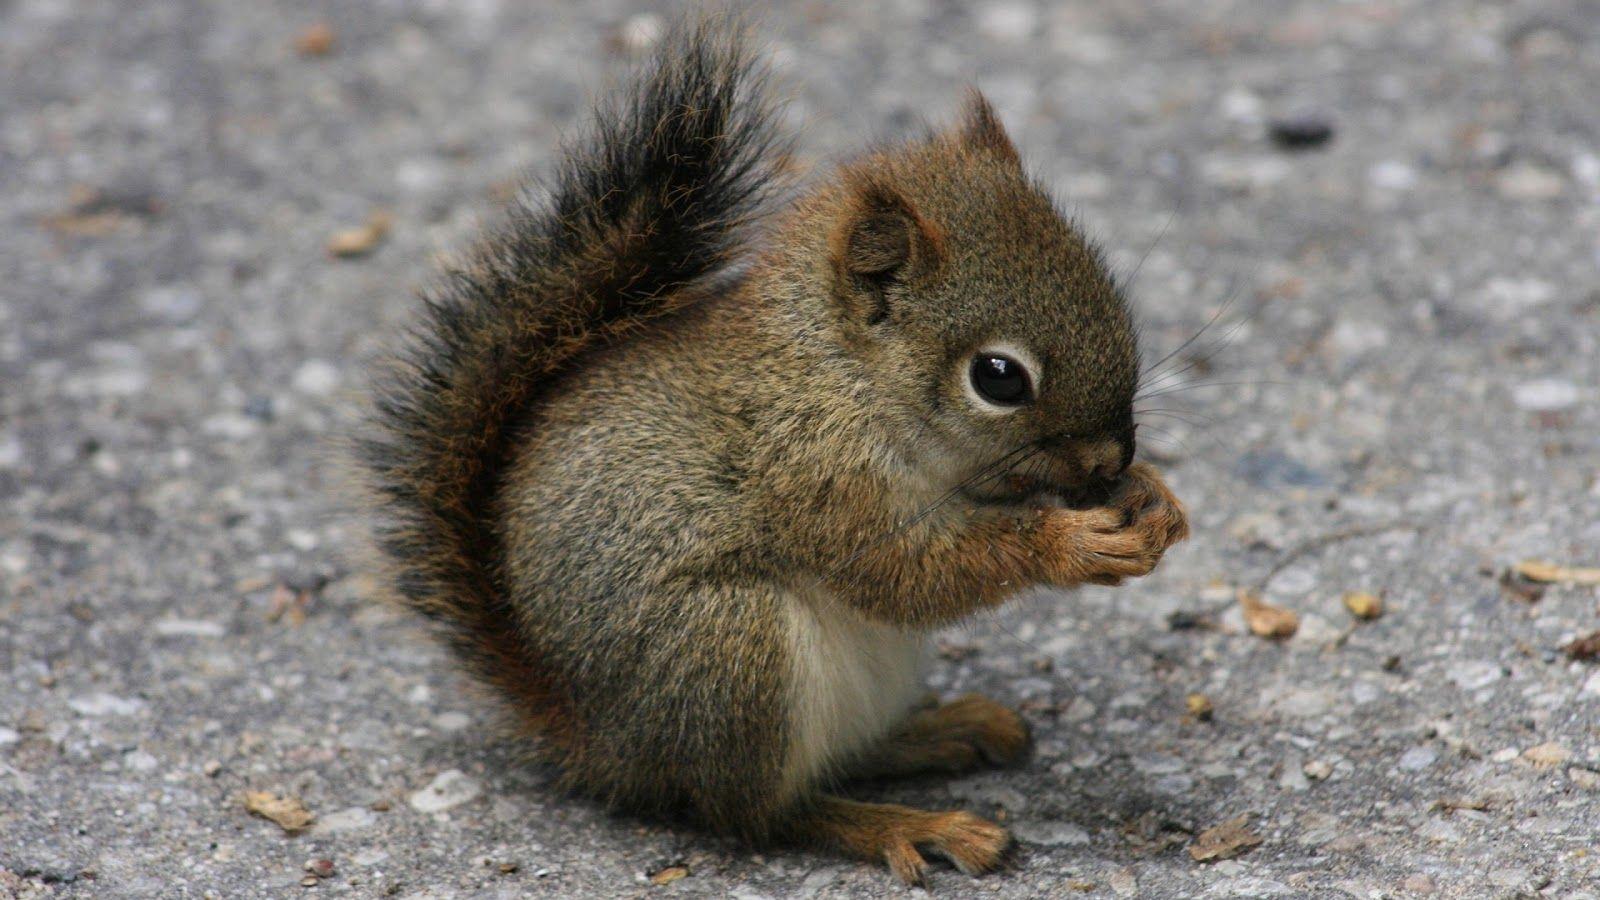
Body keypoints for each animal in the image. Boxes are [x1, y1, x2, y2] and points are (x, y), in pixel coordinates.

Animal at [357, 20, 1188, 886]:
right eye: (998, 377)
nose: (1109, 459)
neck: (842, 374)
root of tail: (603, 743)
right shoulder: (815, 474)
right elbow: (904, 573)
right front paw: (1072, 543)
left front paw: (1153, 499)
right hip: (729, 651)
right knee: (759, 813)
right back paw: (905, 824)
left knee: (837, 761)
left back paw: (940, 730)